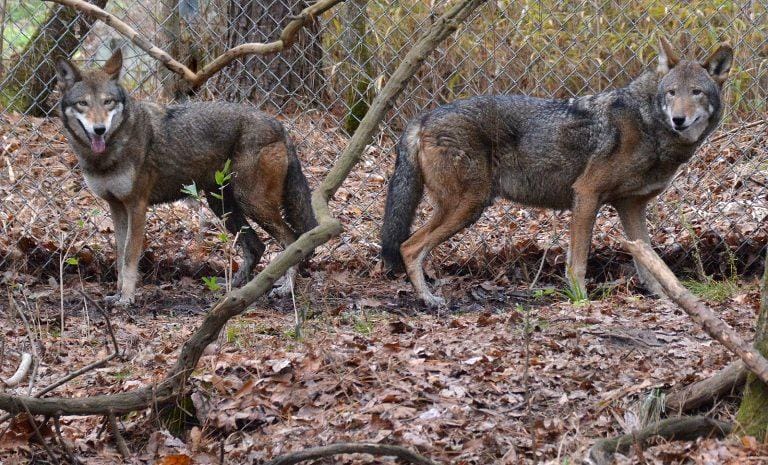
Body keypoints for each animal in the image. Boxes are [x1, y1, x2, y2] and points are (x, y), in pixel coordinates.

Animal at [55, 50, 317, 306]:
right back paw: (235, 290)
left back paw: (285, 289)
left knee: (292, 239)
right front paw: (118, 294)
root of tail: (279, 126)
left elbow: (129, 257)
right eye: (82, 103)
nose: (99, 129)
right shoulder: (117, 207)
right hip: (222, 205)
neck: (109, 152)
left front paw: (127, 298)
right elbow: (120, 257)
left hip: (251, 203)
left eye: (107, 102)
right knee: (256, 245)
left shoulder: (137, 206)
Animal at [381, 37, 733, 307]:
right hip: (468, 206)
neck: (649, 124)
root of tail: (423, 117)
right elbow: (577, 263)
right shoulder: (587, 194)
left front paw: (667, 300)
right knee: (408, 246)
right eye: (671, 92)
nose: (678, 119)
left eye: (696, 92)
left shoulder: (631, 207)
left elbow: (650, 264)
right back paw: (428, 299)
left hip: (465, 207)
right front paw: (581, 301)